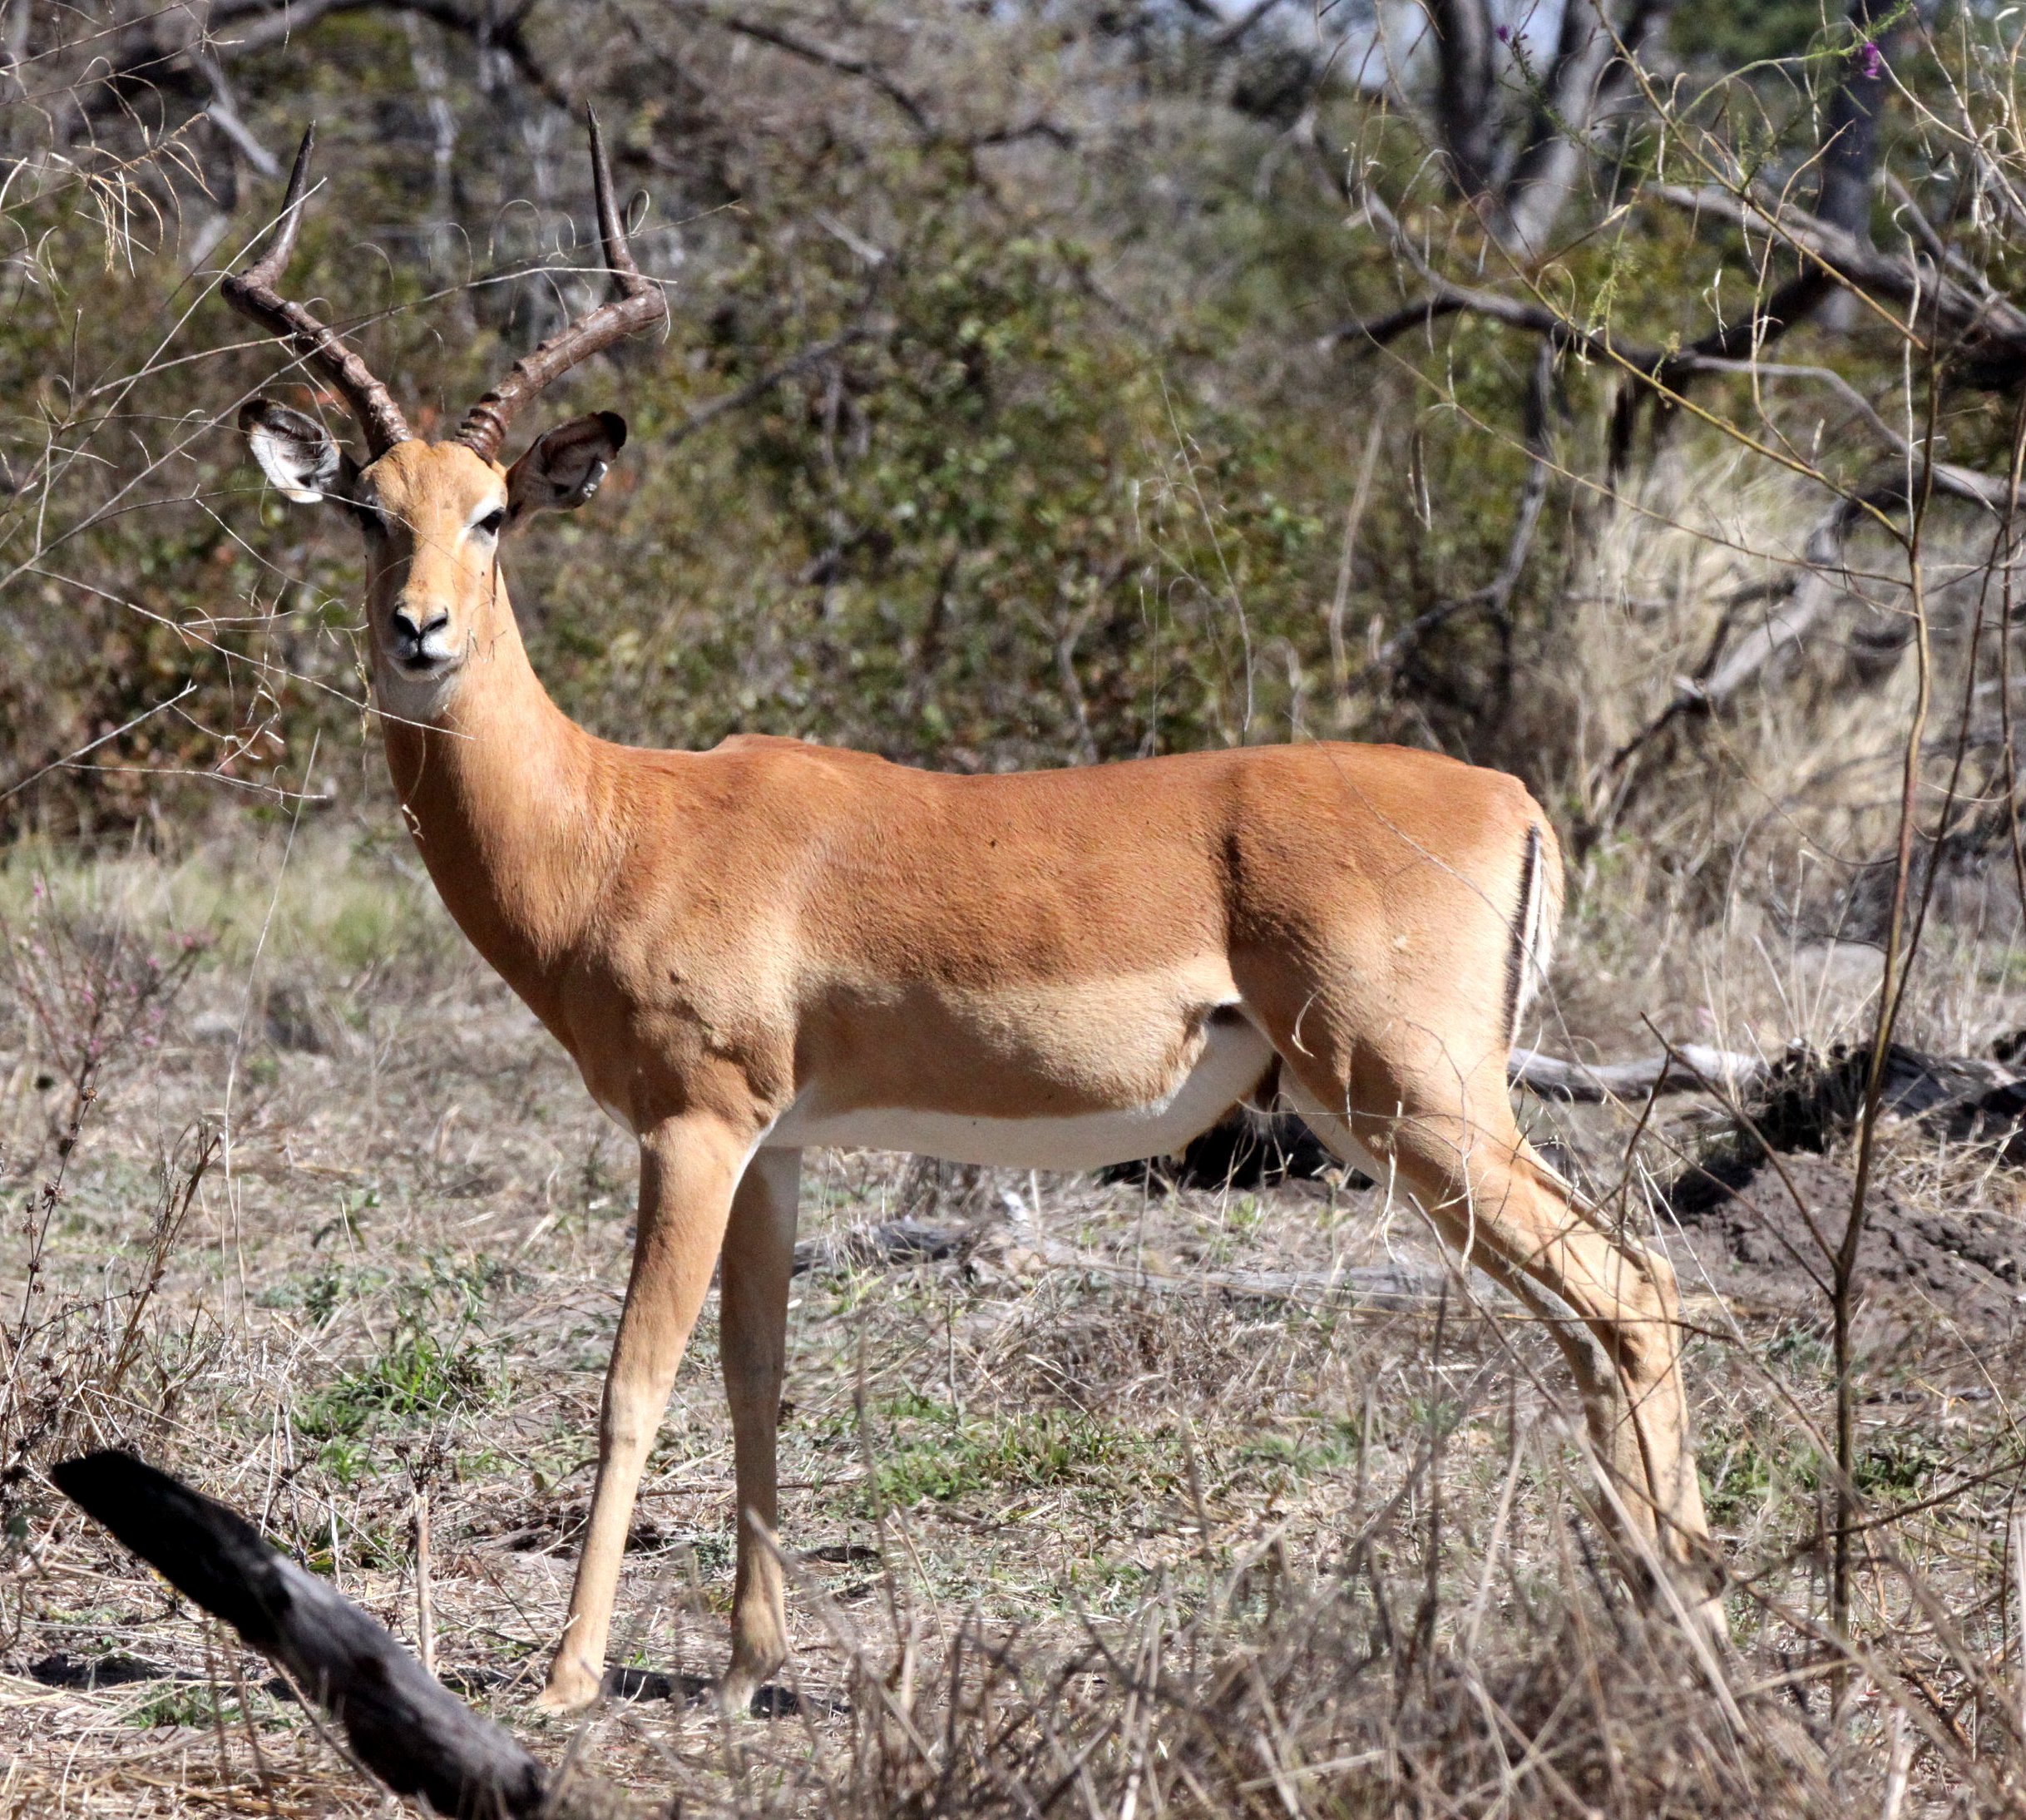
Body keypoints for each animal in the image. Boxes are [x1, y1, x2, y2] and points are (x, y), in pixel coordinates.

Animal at [220, 117, 1717, 1714]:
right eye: (370, 511)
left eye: (494, 514)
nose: (419, 631)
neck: (625, 822)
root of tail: (1511, 794)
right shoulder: (773, 1146)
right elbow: (757, 1374)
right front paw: (750, 1668)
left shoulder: (692, 1126)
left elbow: (633, 1381)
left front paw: (567, 1680)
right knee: (1596, 1319)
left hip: (1417, 1101)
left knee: (1631, 1287)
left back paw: (1691, 1615)